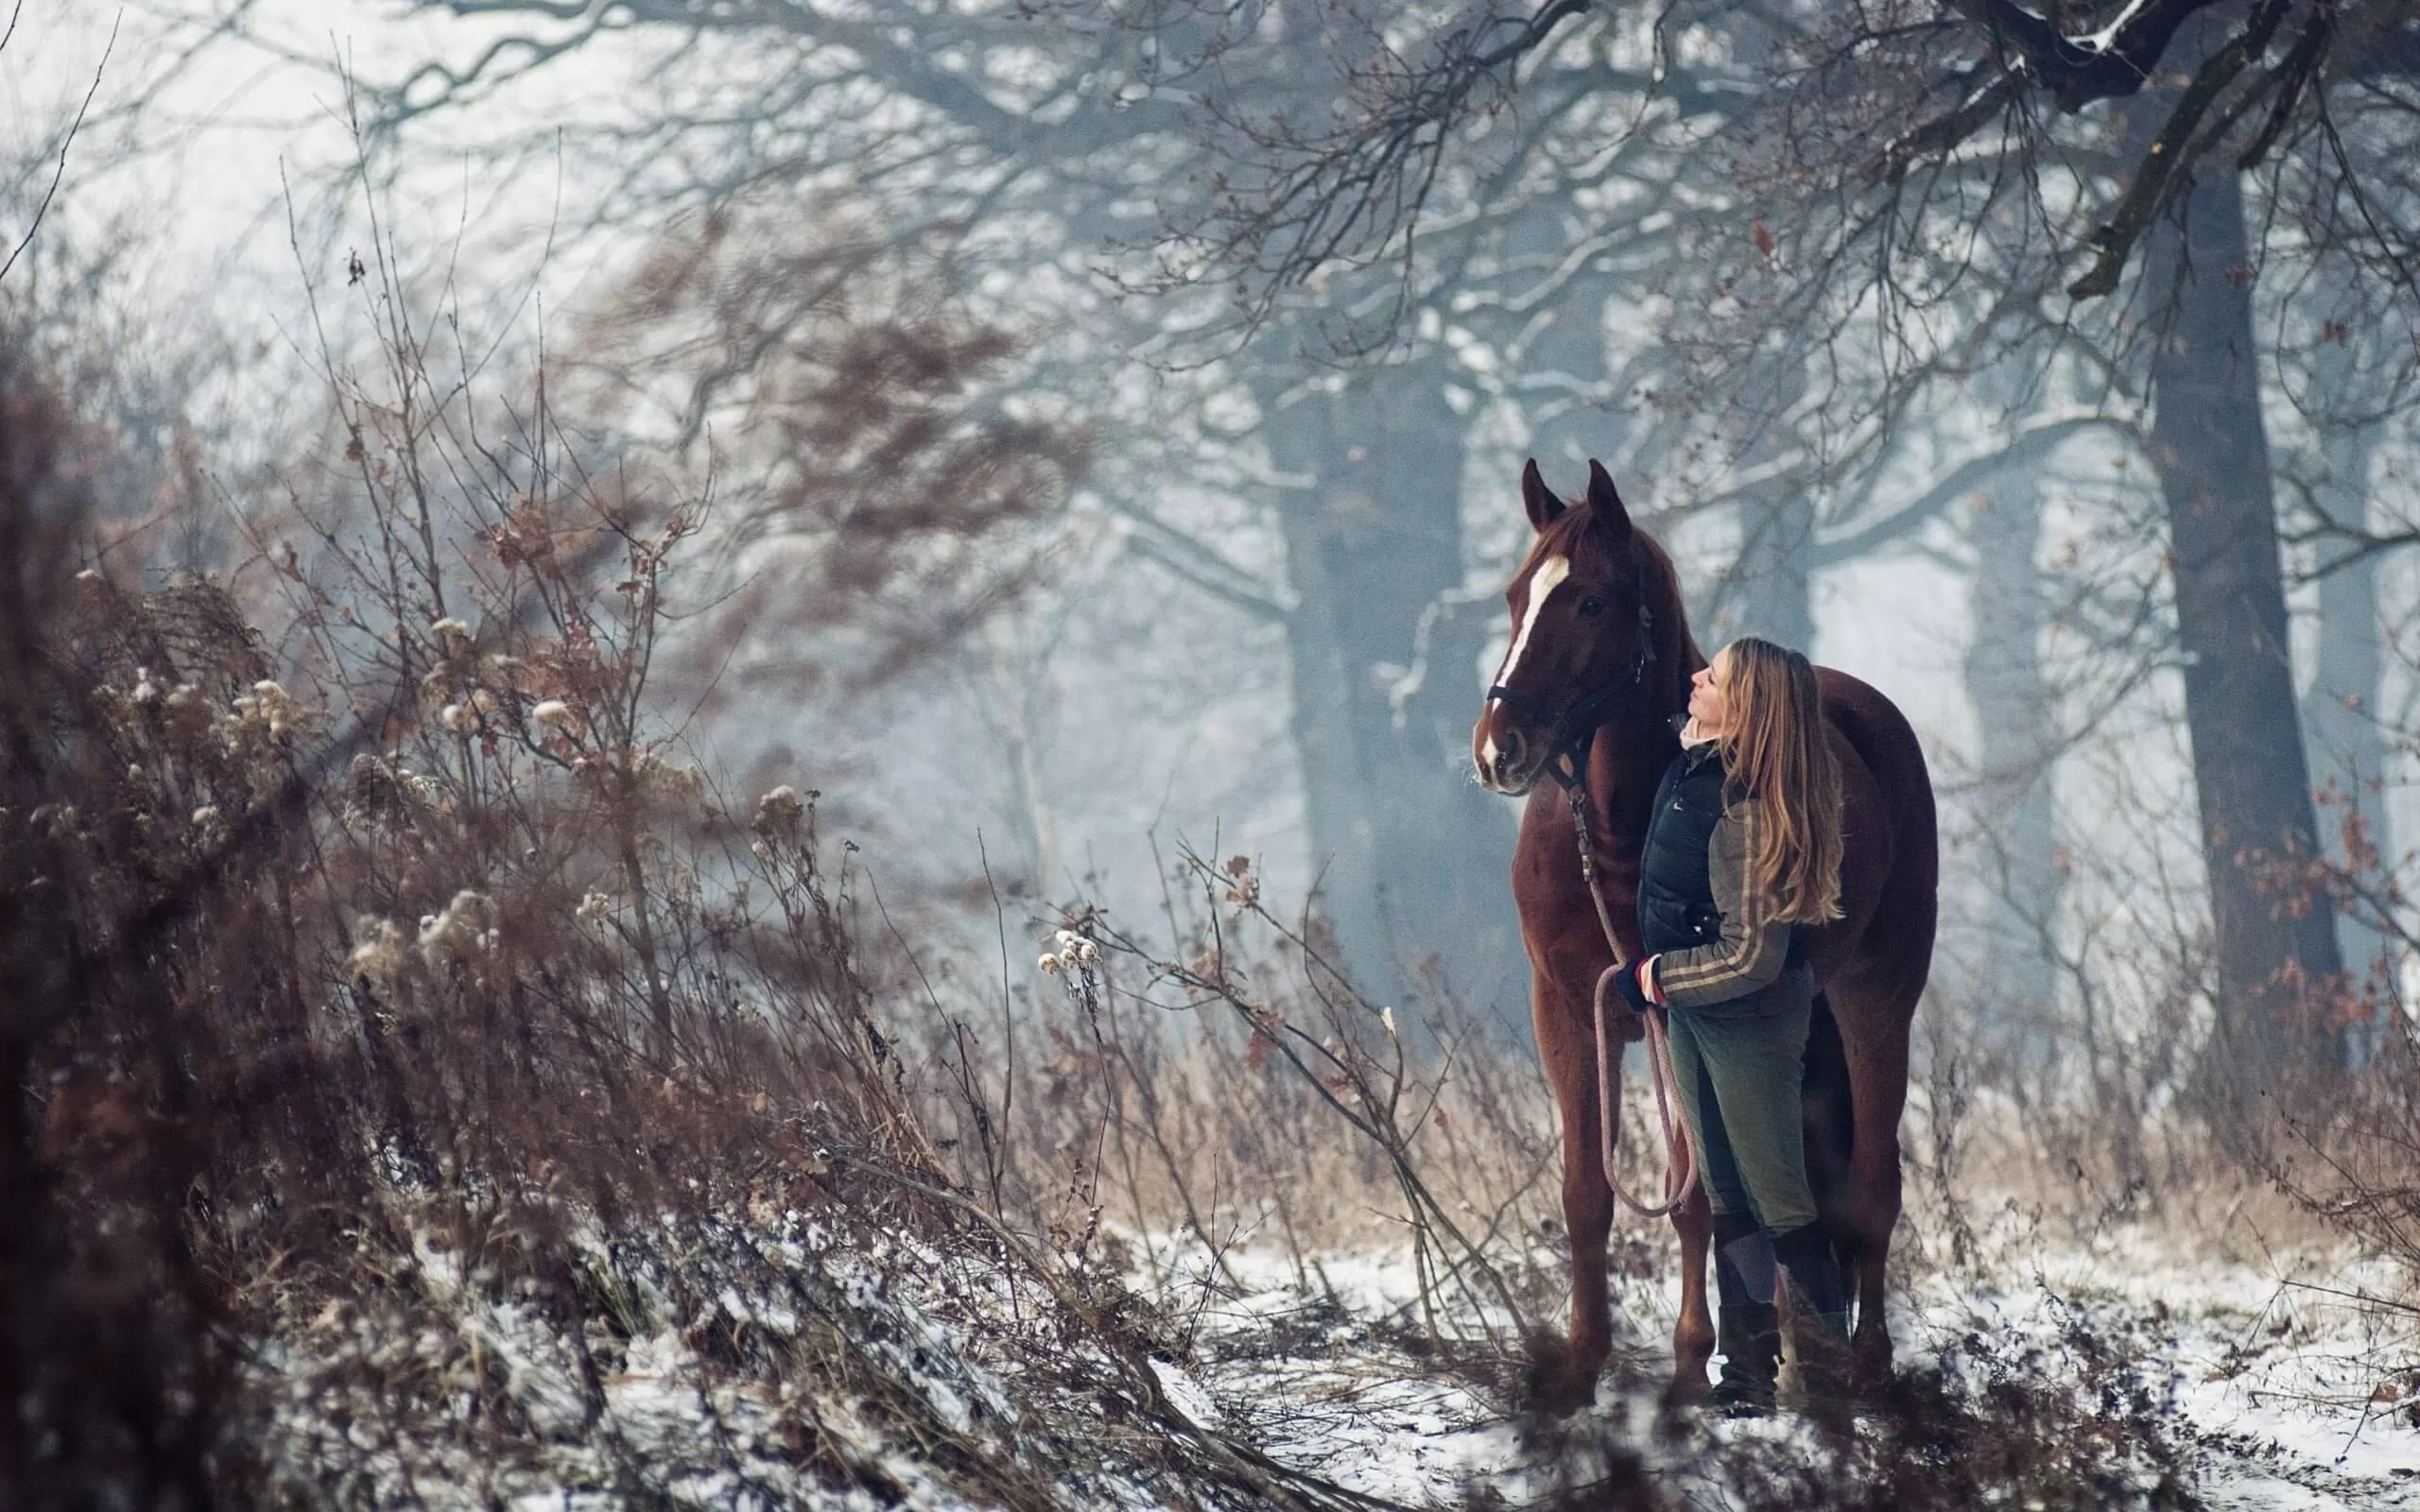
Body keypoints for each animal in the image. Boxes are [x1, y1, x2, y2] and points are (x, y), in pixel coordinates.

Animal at [1461, 455, 1936, 1413]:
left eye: (1590, 602)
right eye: (1517, 595)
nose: (1499, 748)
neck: (1621, 831)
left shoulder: (1674, 1015)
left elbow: (1693, 1203)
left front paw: (1688, 1367)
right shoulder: (1568, 1011)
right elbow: (1586, 1193)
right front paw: (1579, 1370)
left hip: (1876, 1001)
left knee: (1870, 1188)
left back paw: (1862, 1372)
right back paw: (1802, 1356)